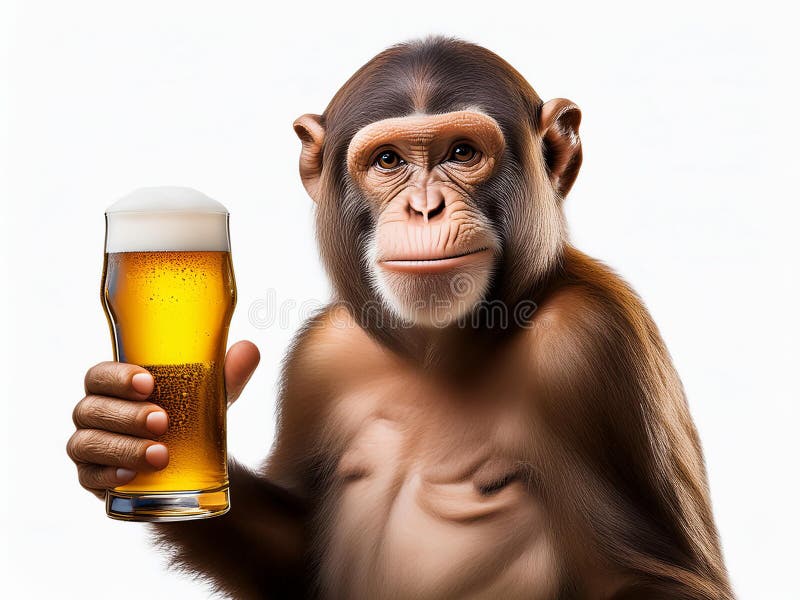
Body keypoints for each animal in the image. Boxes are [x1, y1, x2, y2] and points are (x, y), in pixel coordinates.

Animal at [67, 36, 733, 599]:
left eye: (462, 153)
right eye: (388, 161)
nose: (424, 205)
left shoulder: (597, 352)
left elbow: (659, 579)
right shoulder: (320, 355)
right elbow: (297, 551)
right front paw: (116, 426)